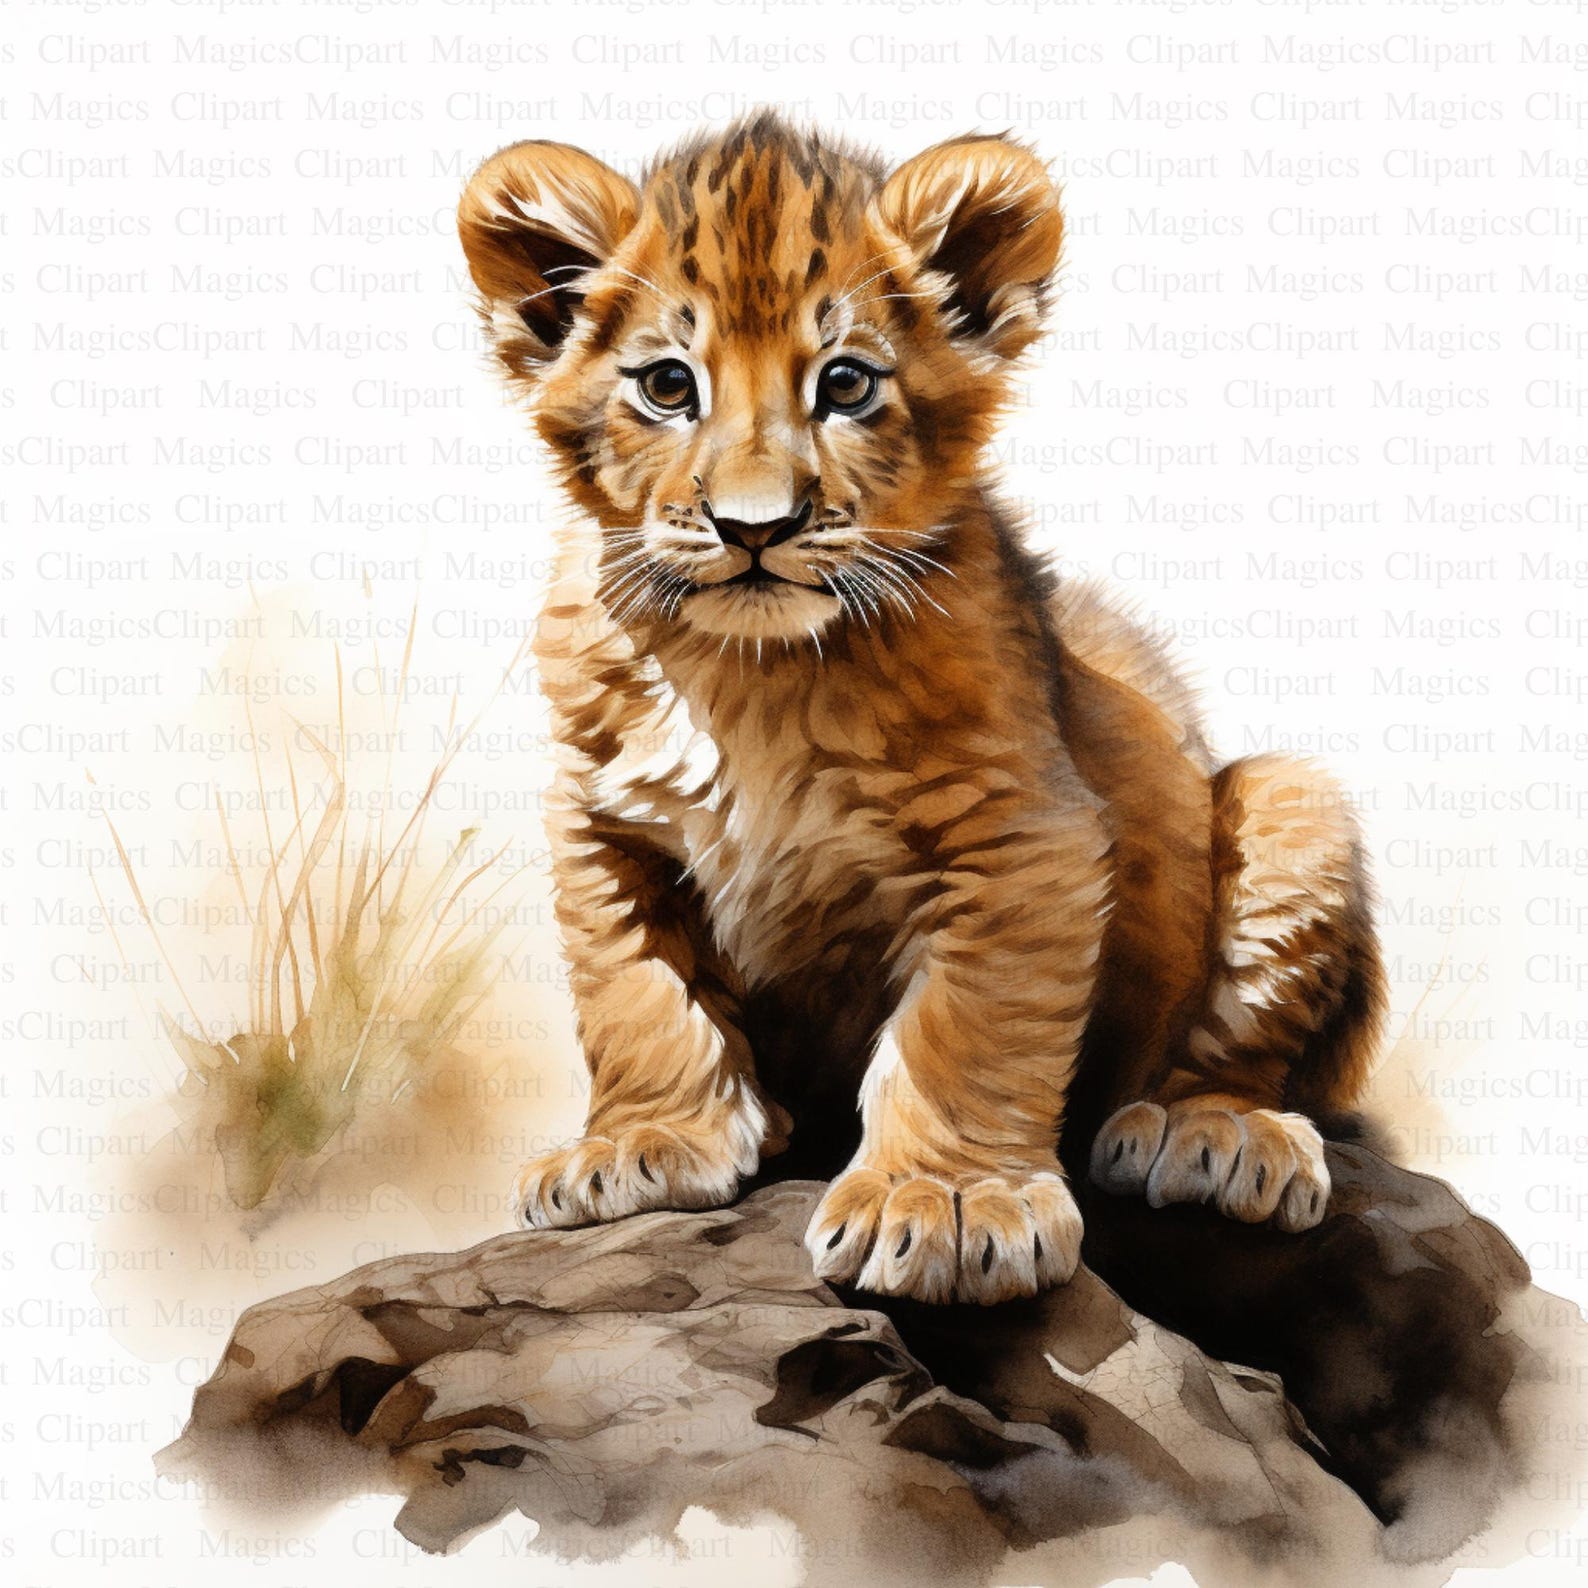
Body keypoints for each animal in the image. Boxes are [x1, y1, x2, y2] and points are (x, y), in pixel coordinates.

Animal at [454, 112, 1385, 1304]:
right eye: (667, 385)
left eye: (846, 385)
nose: (754, 527)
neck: (749, 679)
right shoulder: (603, 826)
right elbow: (639, 995)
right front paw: (640, 1143)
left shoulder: (1022, 834)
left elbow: (964, 1030)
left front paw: (947, 1204)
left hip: (1290, 802)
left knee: (1237, 1054)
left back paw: (1212, 1137)